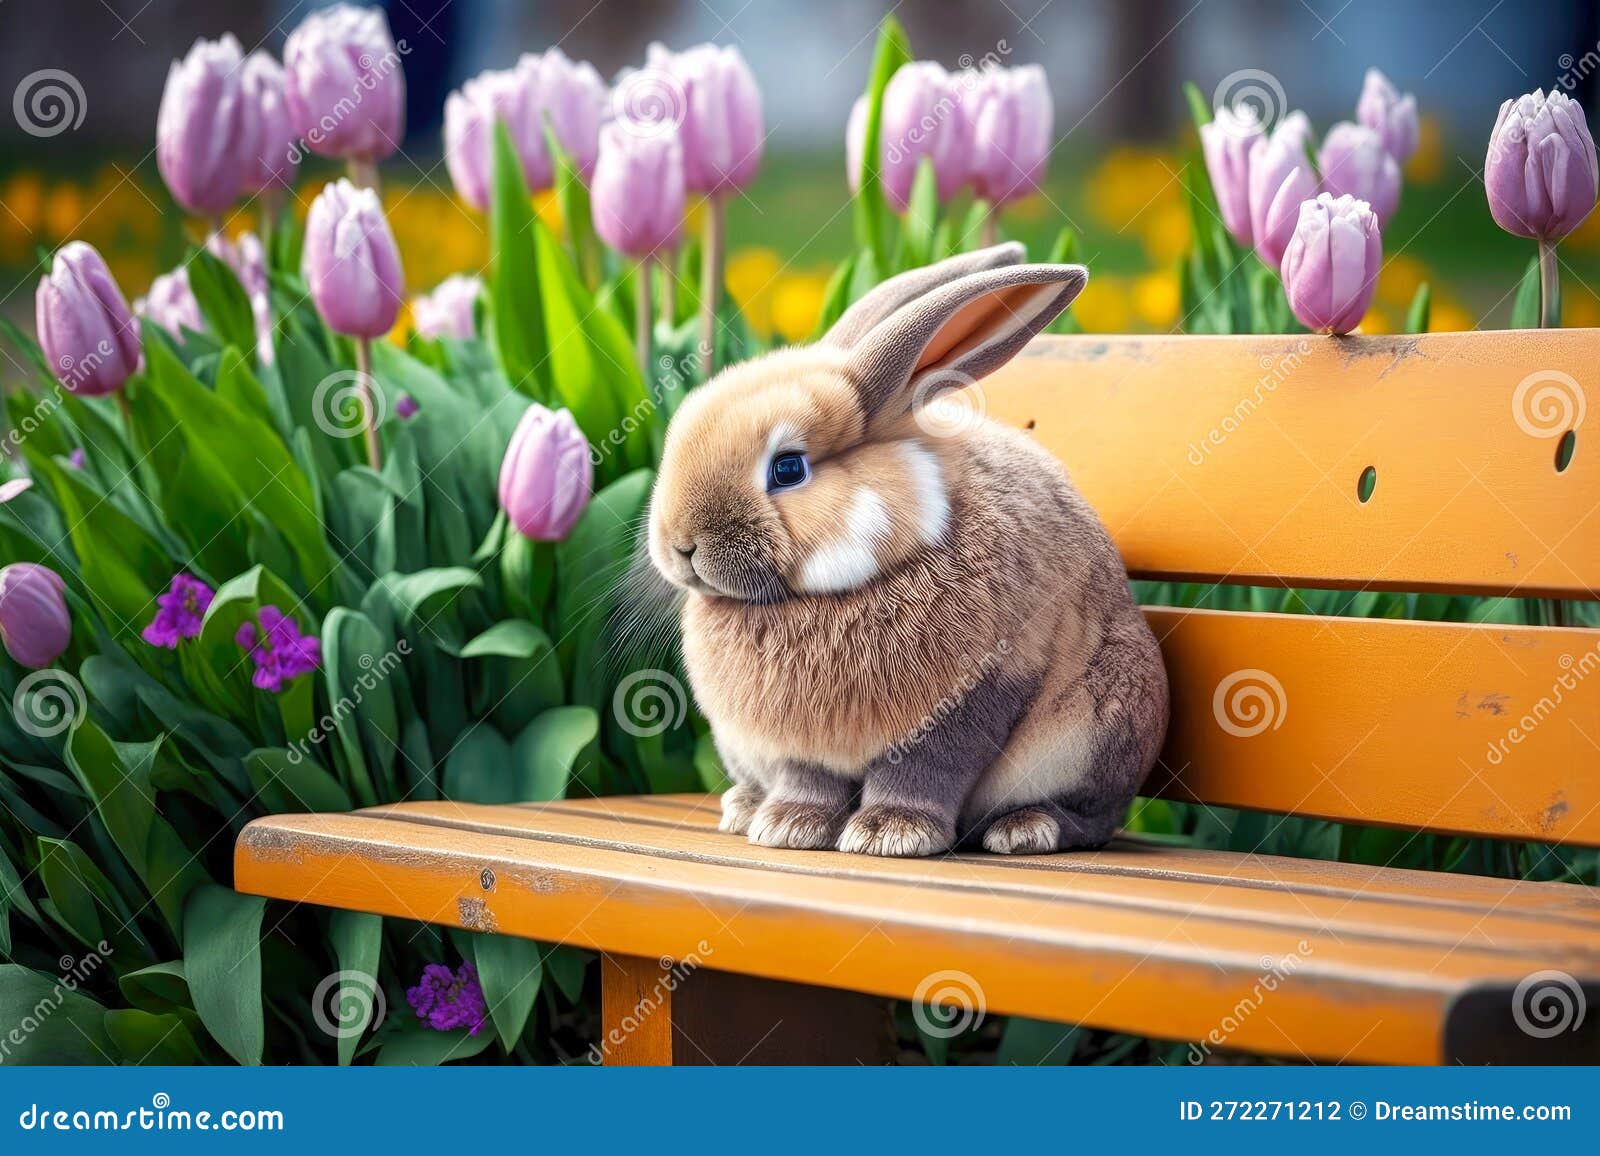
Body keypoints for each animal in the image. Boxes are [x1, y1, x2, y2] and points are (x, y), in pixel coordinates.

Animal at [644, 243, 1169, 858]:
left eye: (788, 468)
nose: (681, 546)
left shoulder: (972, 698)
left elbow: (924, 771)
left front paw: (890, 833)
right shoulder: (800, 744)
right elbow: (808, 780)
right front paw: (789, 826)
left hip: (1093, 732)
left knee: (1095, 819)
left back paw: (1025, 828)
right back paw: (745, 808)